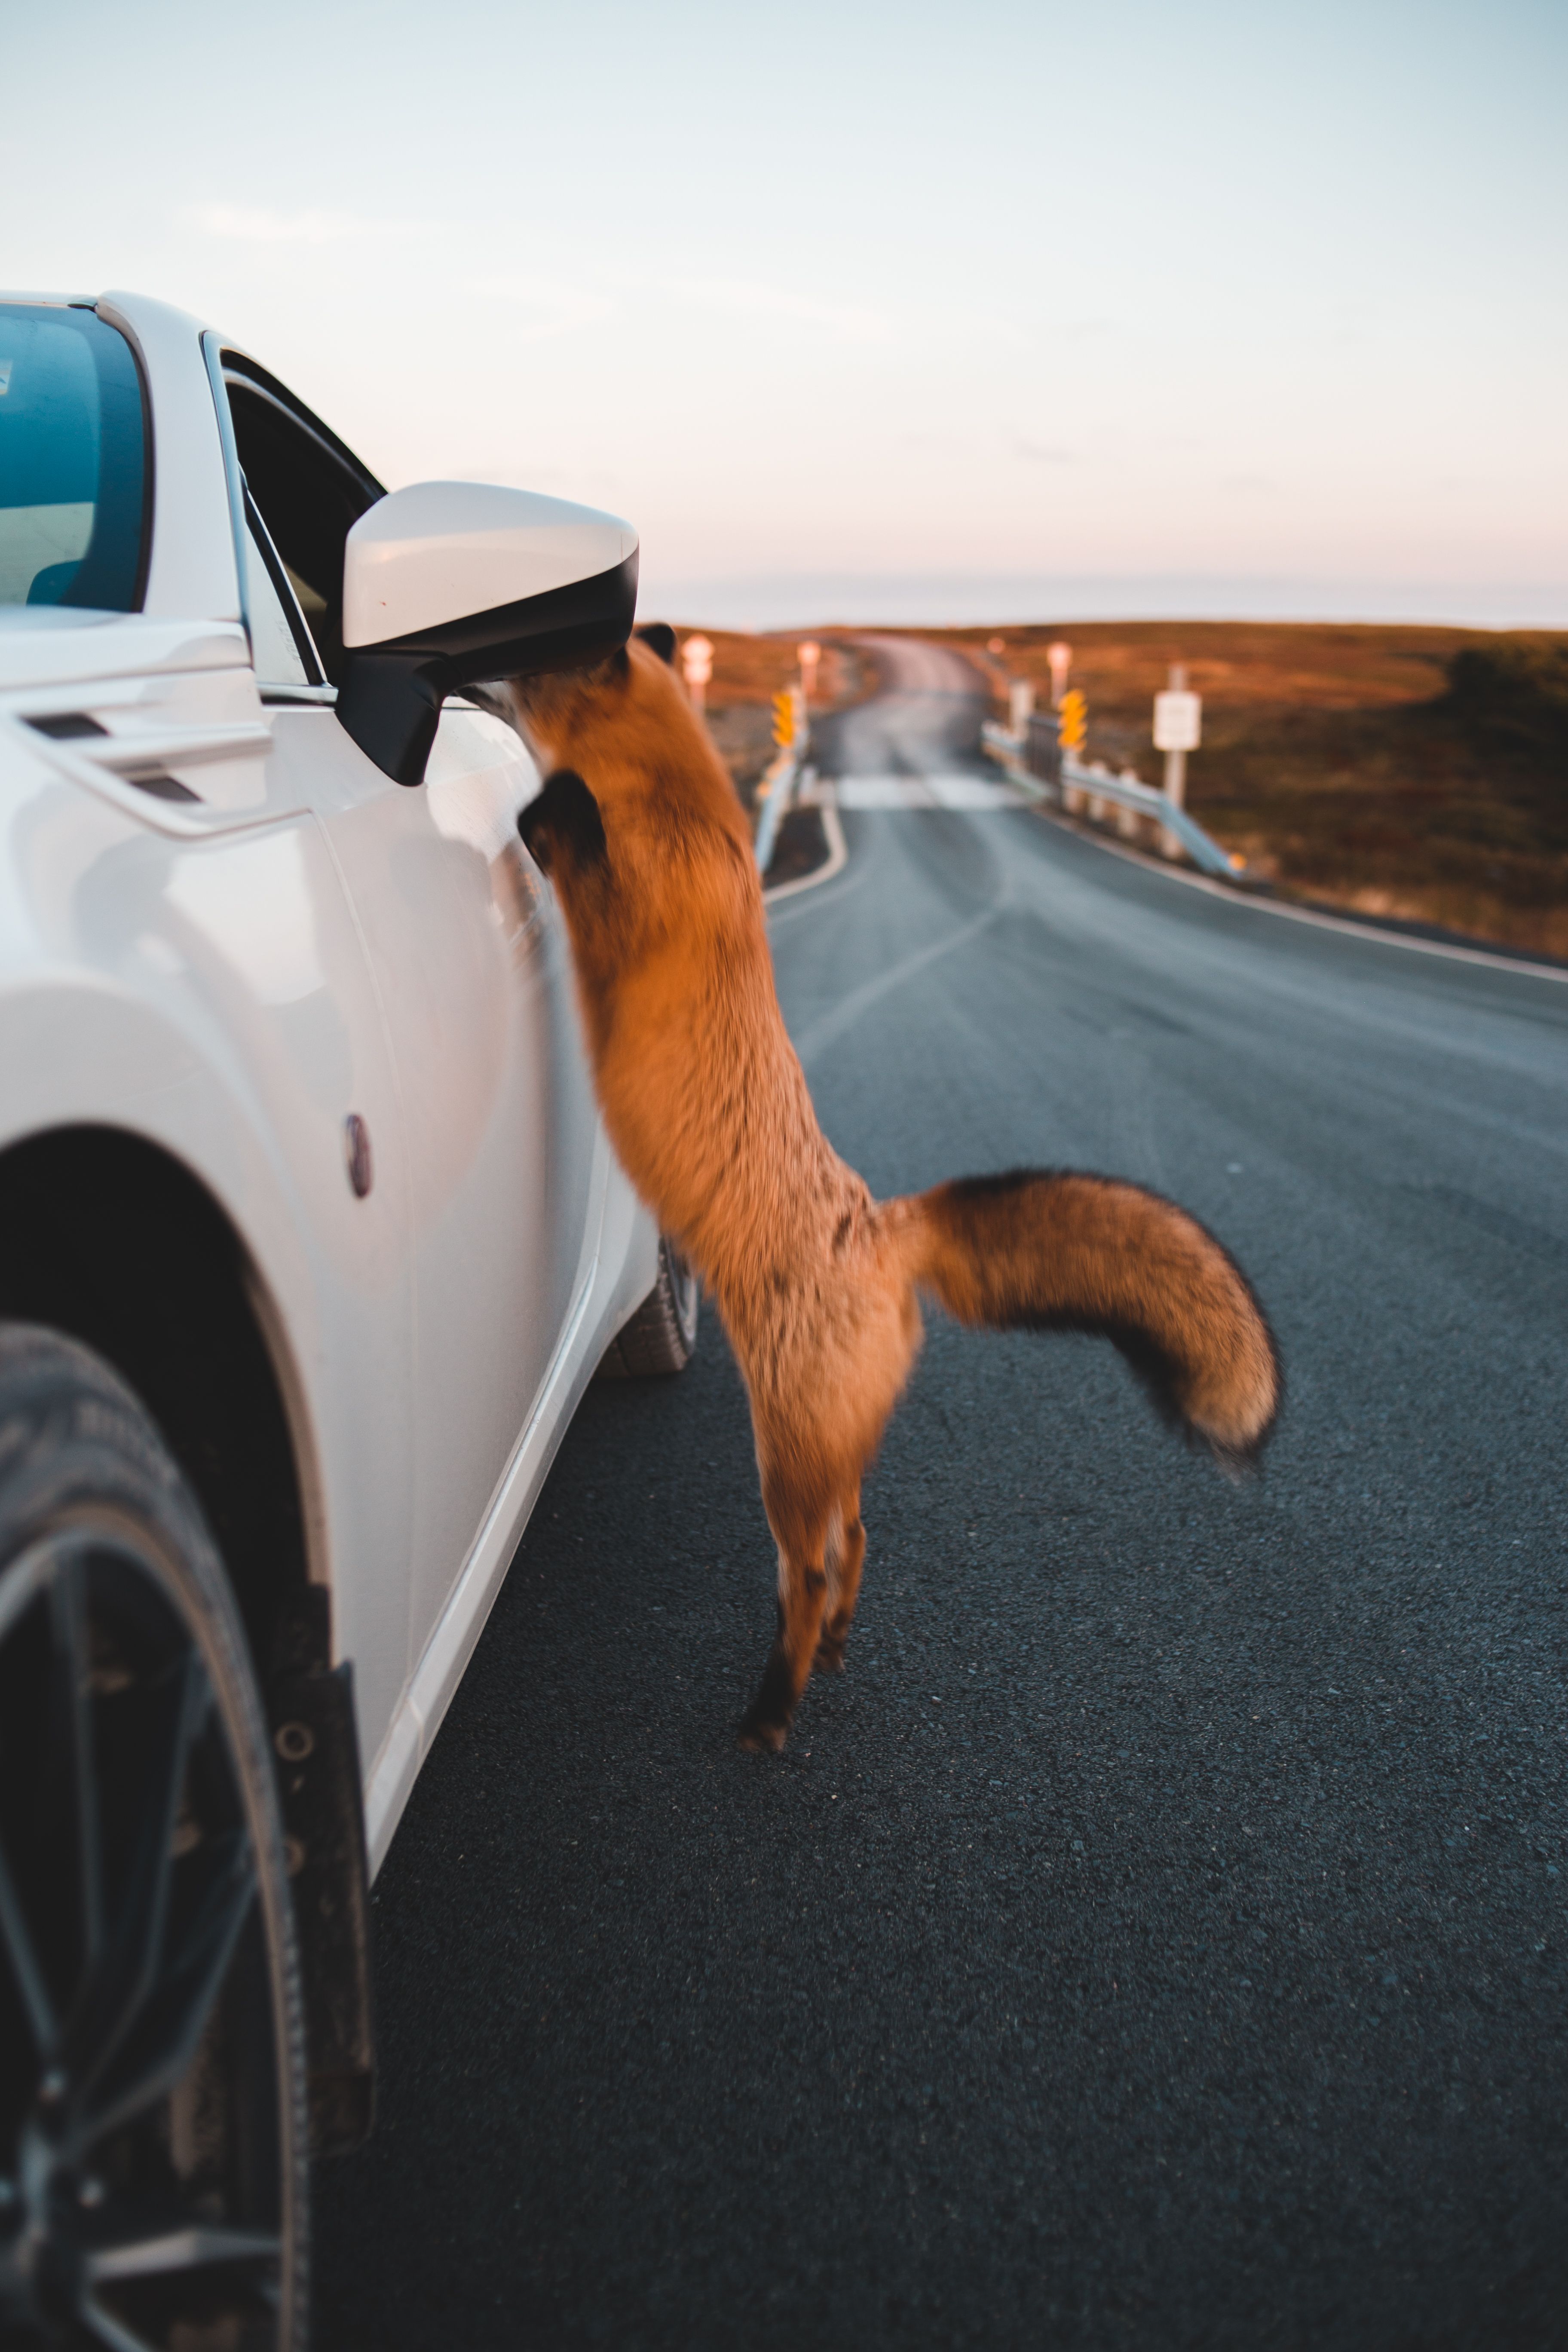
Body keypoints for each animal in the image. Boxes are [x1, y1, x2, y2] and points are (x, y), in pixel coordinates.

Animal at [510, 633, 1280, 1753]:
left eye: (548, 664)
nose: (494, 673)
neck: (696, 815)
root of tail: (887, 1229)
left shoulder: (625, 901)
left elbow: (565, 828)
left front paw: (545, 798)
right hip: (829, 1455)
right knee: (862, 1539)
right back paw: (831, 1649)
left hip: (784, 1457)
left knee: (811, 1567)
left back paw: (772, 1710)